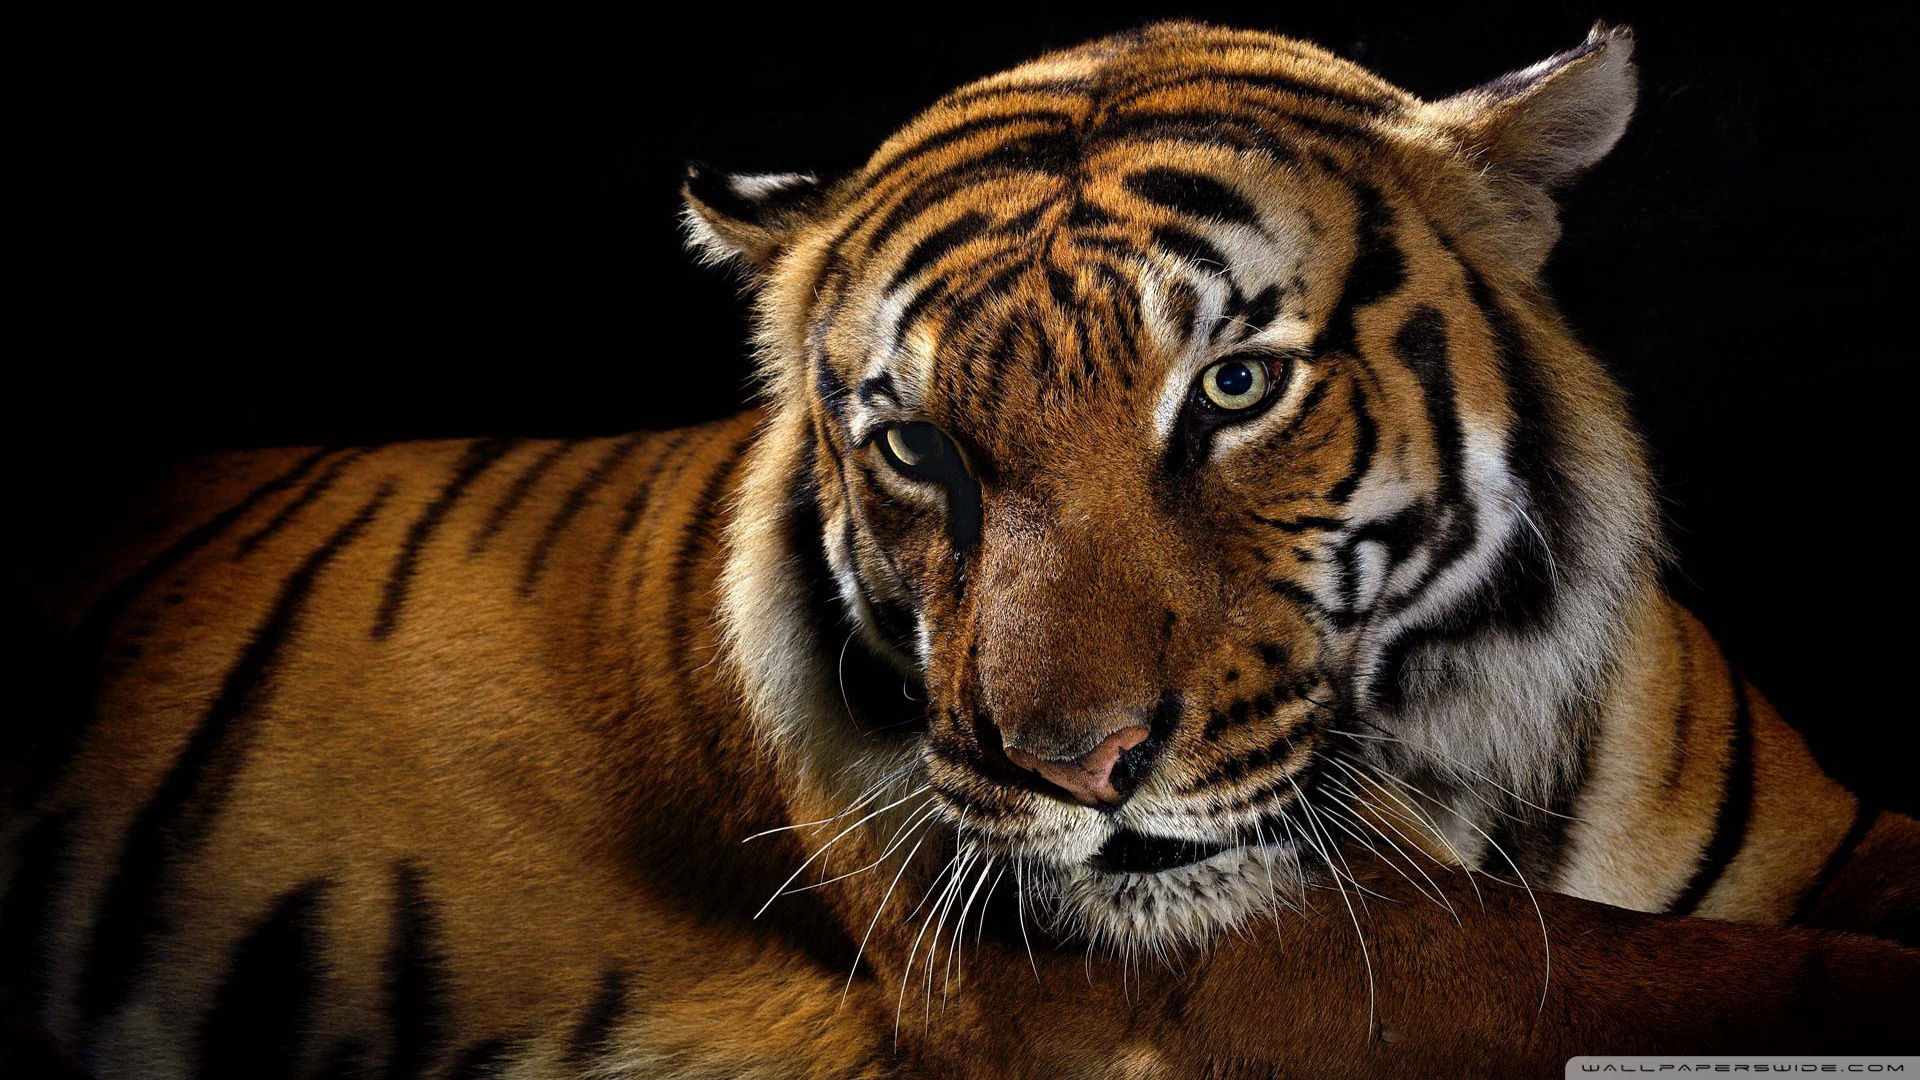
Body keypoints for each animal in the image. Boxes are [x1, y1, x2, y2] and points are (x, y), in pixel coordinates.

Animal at [4, 18, 1916, 1080]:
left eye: (1233, 386)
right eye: (916, 445)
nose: (1076, 767)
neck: (1472, 752)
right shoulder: (1236, 973)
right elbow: (1639, 971)